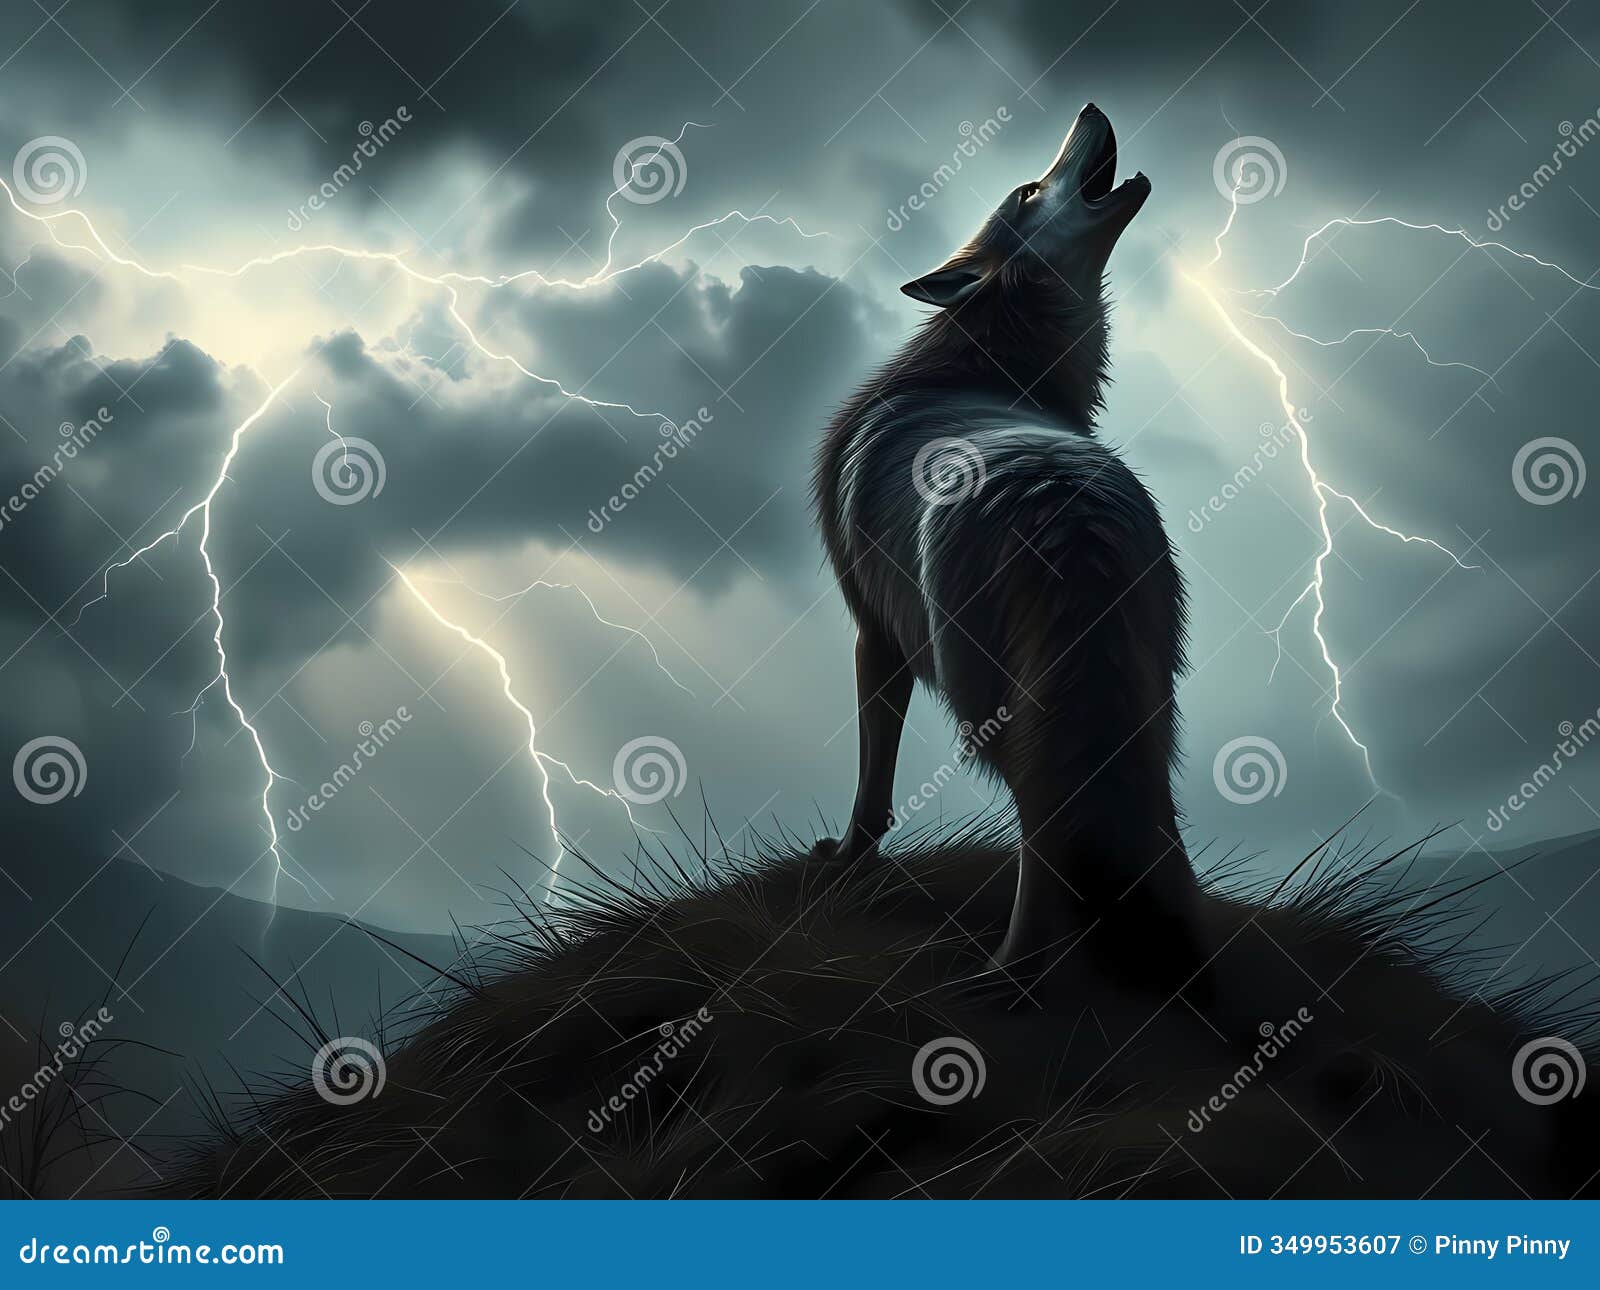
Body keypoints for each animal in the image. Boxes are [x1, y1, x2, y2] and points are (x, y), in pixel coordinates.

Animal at [812, 103, 1206, 986]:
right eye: (1030, 189)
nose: (1090, 108)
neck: (977, 371)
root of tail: (1069, 510)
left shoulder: (872, 634)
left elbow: (871, 787)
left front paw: (848, 861)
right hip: (1143, 703)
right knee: (1146, 830)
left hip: (985, 702)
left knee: (1044, 827)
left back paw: (1010, 973)